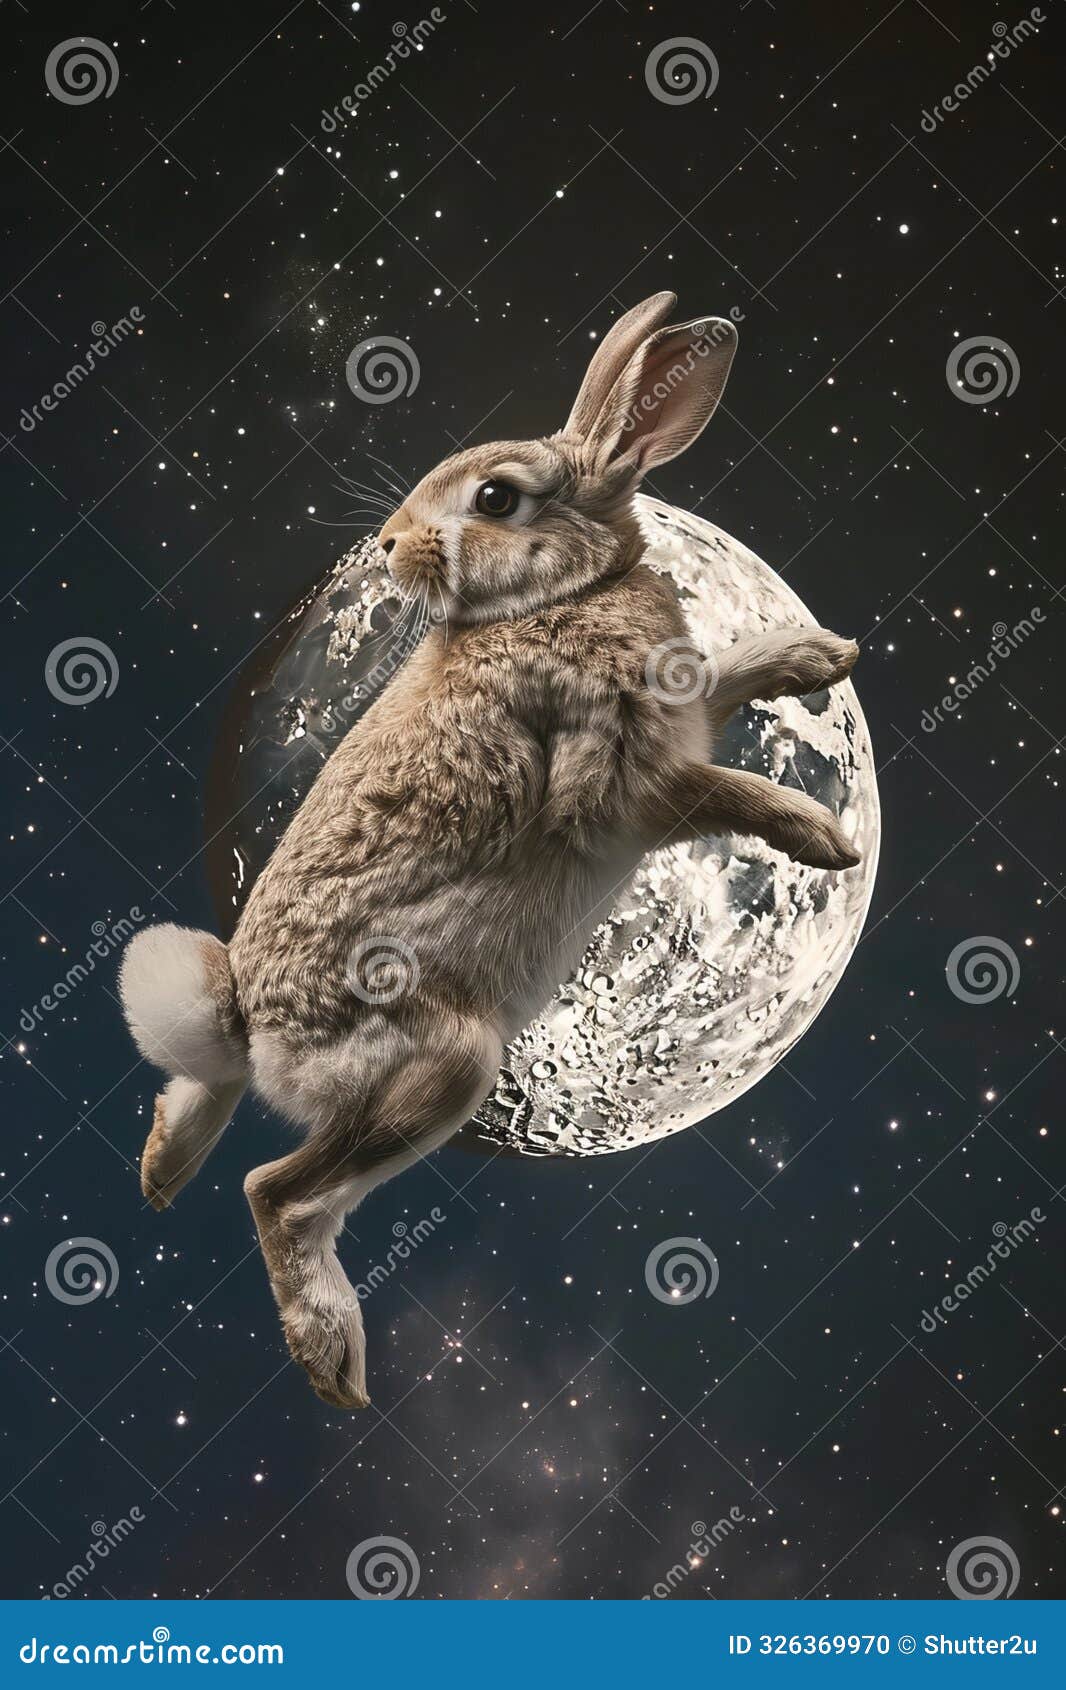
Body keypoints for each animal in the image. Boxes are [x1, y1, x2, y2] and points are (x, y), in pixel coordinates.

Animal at [120, 290, 860, 1410]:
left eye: (497, 498)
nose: (388, 545)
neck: (555, 600)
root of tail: (254, 1025)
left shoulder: (679, 712)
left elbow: (732, 675)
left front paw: (817, 656)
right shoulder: (617, 782)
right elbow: (714, 791)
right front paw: (821, 835)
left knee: (208, 1097)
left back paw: (163, 1167)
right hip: (444, 1064)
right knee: (276, 1193)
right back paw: (331, 1358)